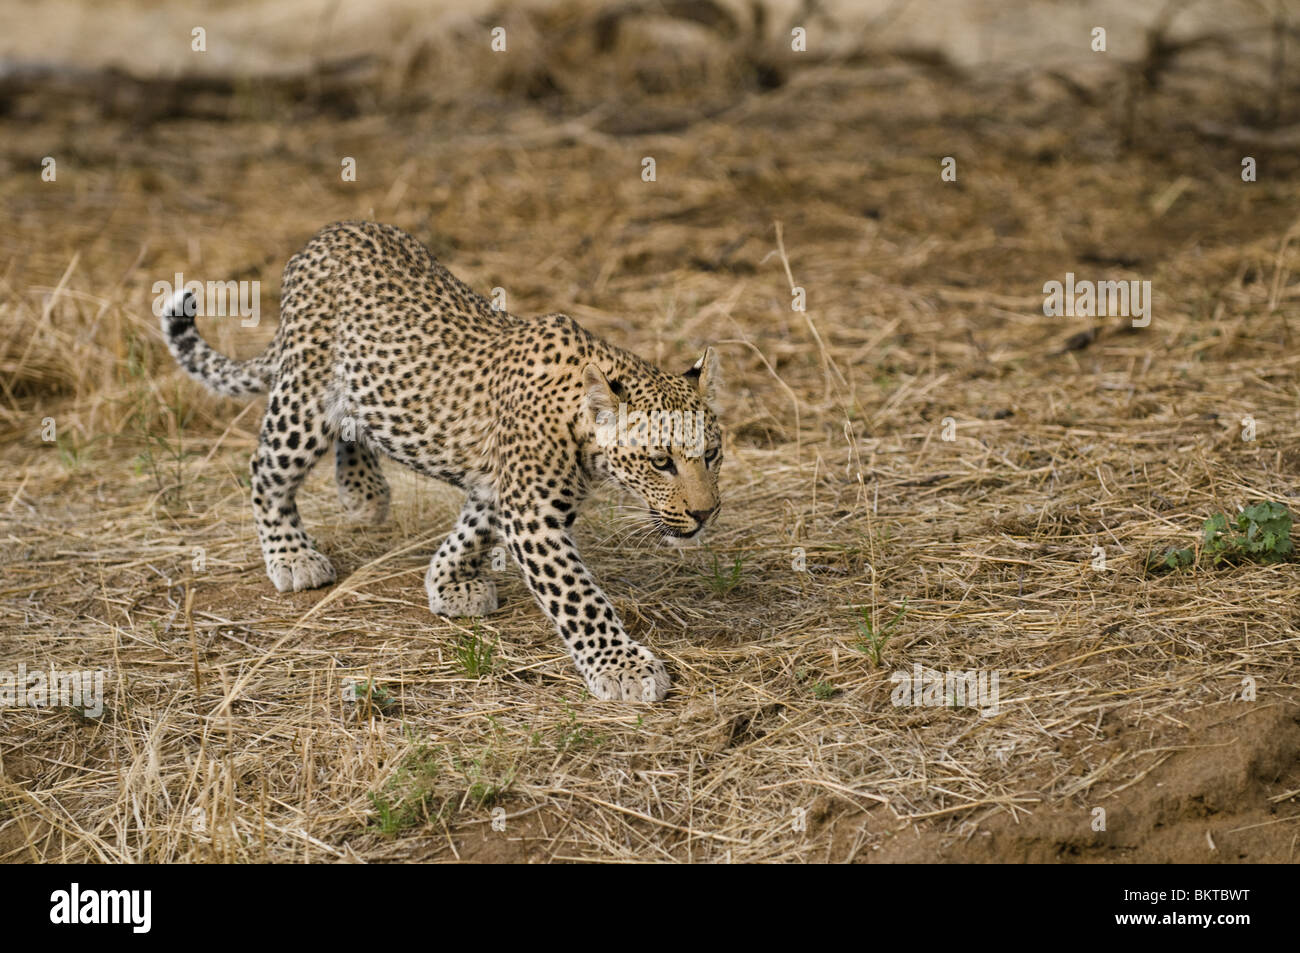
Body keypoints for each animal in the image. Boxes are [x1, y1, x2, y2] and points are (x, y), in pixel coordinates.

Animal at [159, 221, 723, 701]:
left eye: (712, 455)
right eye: (660, 462)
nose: (705, 514)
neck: (579, 426)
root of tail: (326, 234)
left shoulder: (501, 488)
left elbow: (473, 528)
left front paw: (449, 582)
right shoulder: (533, 512)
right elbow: (578, 596)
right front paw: (622, 667)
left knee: (353, 422)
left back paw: (362, 492)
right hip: (305, 396)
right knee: (267, 470)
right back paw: (292, 556)